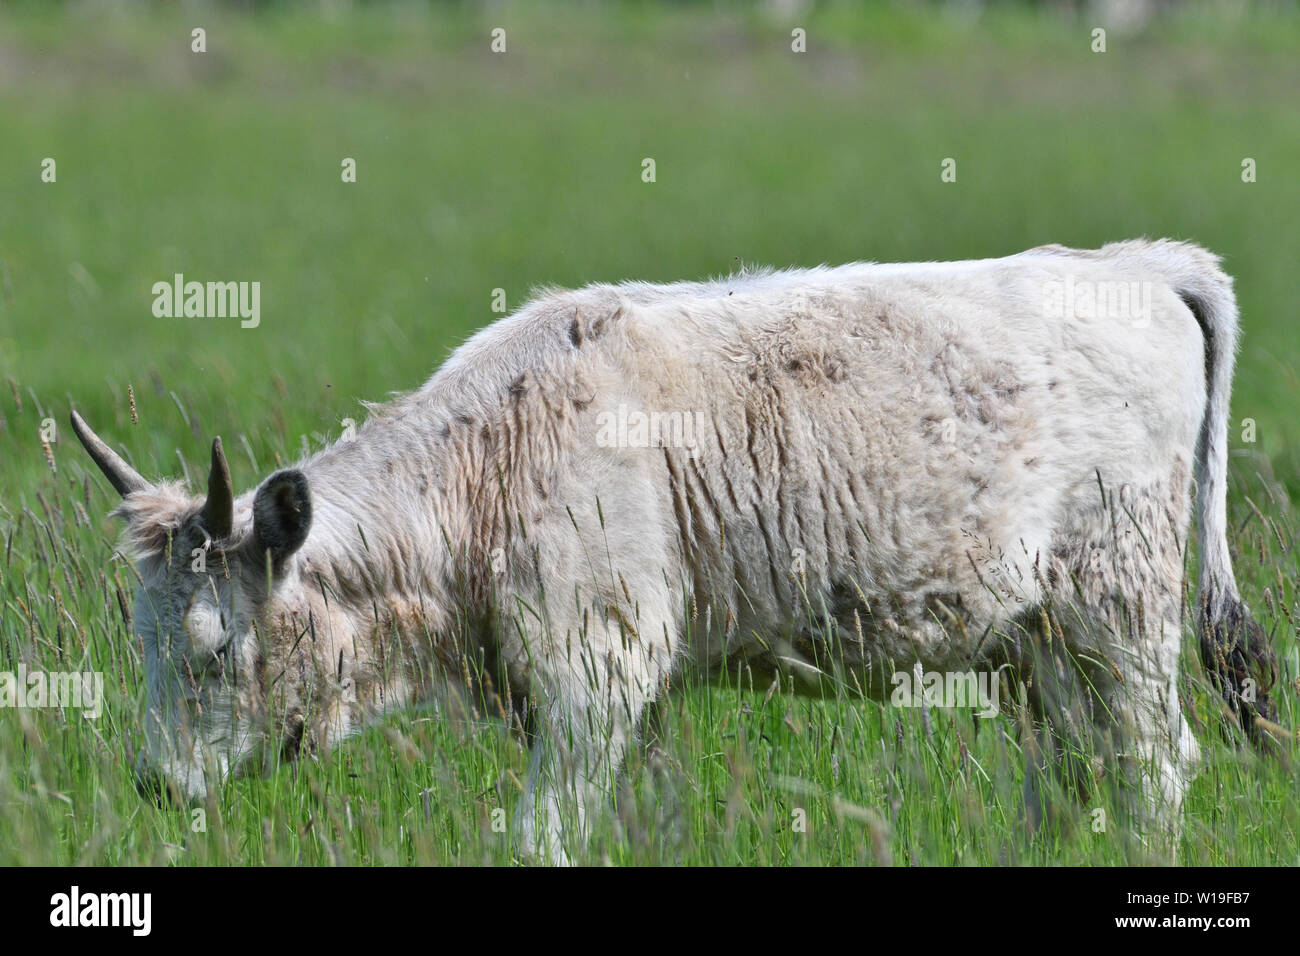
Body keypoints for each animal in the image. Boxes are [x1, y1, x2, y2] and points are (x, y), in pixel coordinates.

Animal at [73, 238, 1278, 864]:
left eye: (215, 647)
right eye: (137, 638)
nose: (152, 785)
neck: (494, 460)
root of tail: (1141, 262)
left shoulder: (593, 674)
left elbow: (542, 835)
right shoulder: (623, 694)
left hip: (1117, 613)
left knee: (1154, 765)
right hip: (1038, 648)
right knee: (1075, 774)